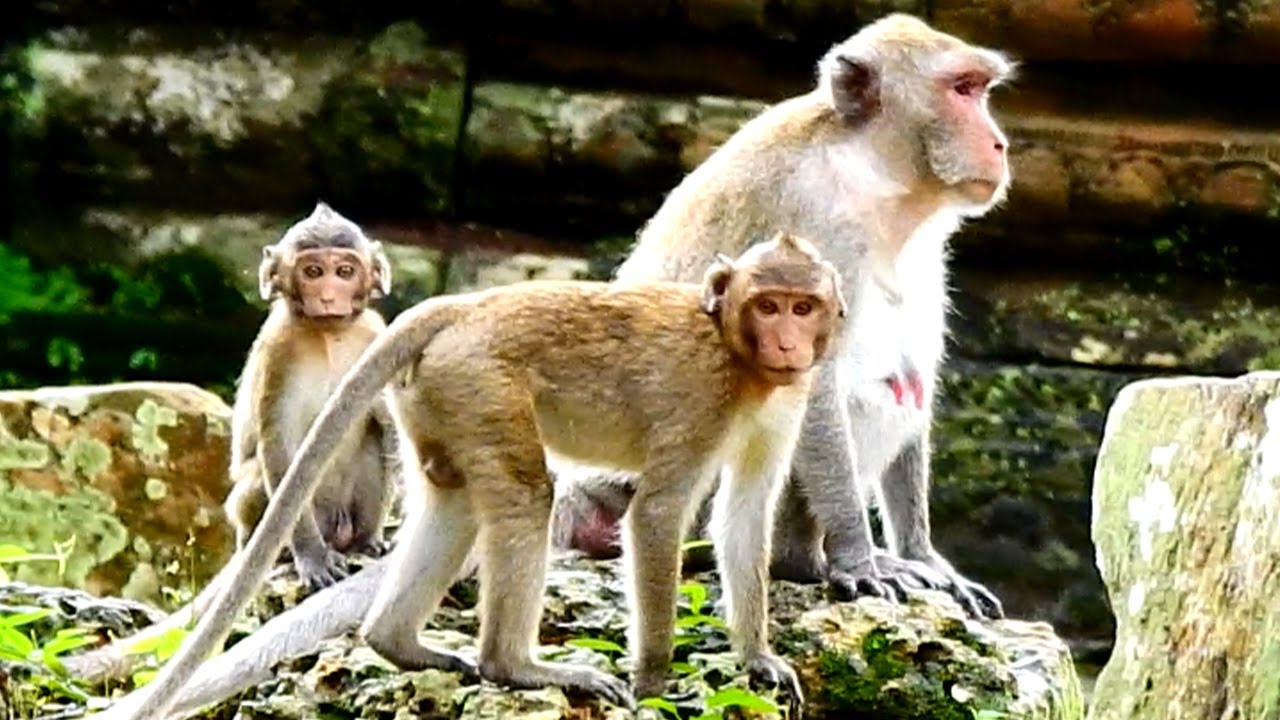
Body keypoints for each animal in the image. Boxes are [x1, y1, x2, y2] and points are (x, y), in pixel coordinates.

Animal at [91, 232, 845, 720]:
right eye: (769, 304)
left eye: (802, 306)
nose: (787, 342)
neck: (739, 357)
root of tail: (461, 306)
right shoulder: (700, 398)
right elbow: (658, 515)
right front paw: (658, 684)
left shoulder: (787, 399)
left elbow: (745, 513)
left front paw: (756, 657)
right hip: (479, 381)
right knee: (526, 497)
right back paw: (514, 667)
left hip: (438, 396)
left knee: (455, 499)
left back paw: (395, 643)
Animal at [551, 13, 1011, 620]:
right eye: (961, 89)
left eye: (981, 89)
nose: (1000, 143)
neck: (869, 175)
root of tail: (578, 498)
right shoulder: (814, 223)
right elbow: (811, 381)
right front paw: (858, 560)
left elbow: (915, 370)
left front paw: (923, 554)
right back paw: (802, 559)